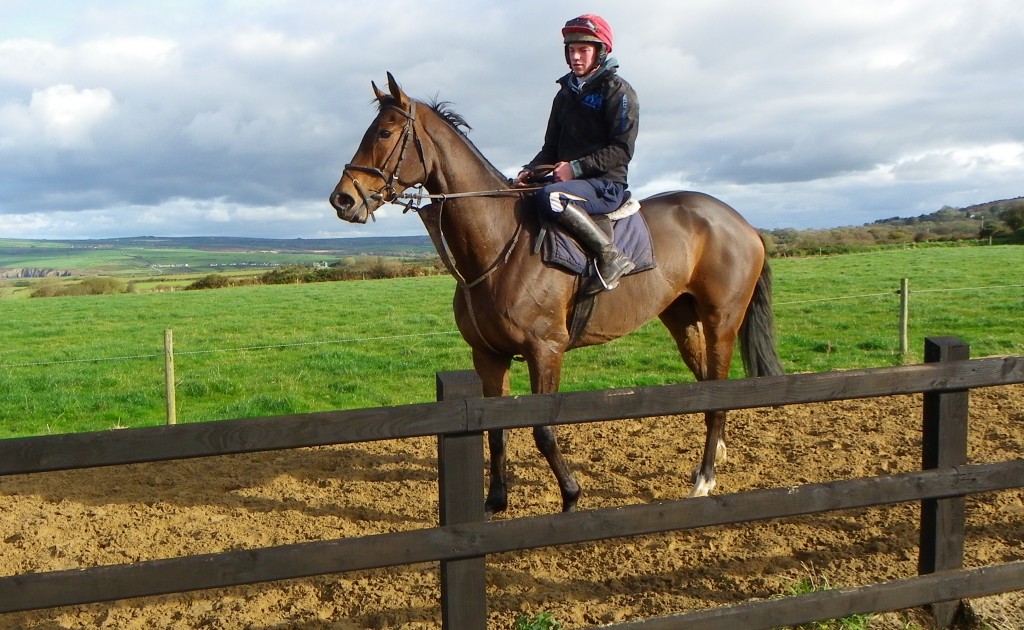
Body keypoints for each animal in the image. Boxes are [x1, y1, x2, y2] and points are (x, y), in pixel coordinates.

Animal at [330, 72, 784, 518]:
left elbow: (544, 430)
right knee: (706, 387)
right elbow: (495, 431)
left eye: (385, 132)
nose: (342, 199)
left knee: (720, 392)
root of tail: (739, 221)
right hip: (682, 319)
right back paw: (714, 458)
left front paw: (570, 496)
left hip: (721, 320)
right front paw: (496, 501)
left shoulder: (546, 349)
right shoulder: (488, 356)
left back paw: (704, 480)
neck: (499, 245)